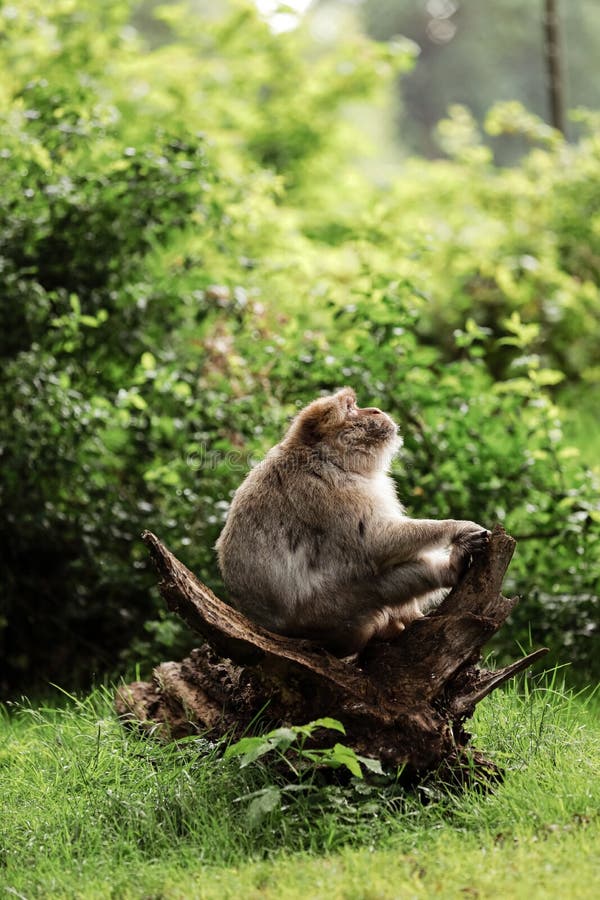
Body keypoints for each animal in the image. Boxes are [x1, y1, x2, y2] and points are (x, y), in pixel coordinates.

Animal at [216, 387, 490, 655]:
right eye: (351, 408)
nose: (375, 409)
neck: (329, 457)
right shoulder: (327, 488)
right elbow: (374, 540)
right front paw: (458, 528)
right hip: (330, 611)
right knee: (377, 578)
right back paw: (449, 572)